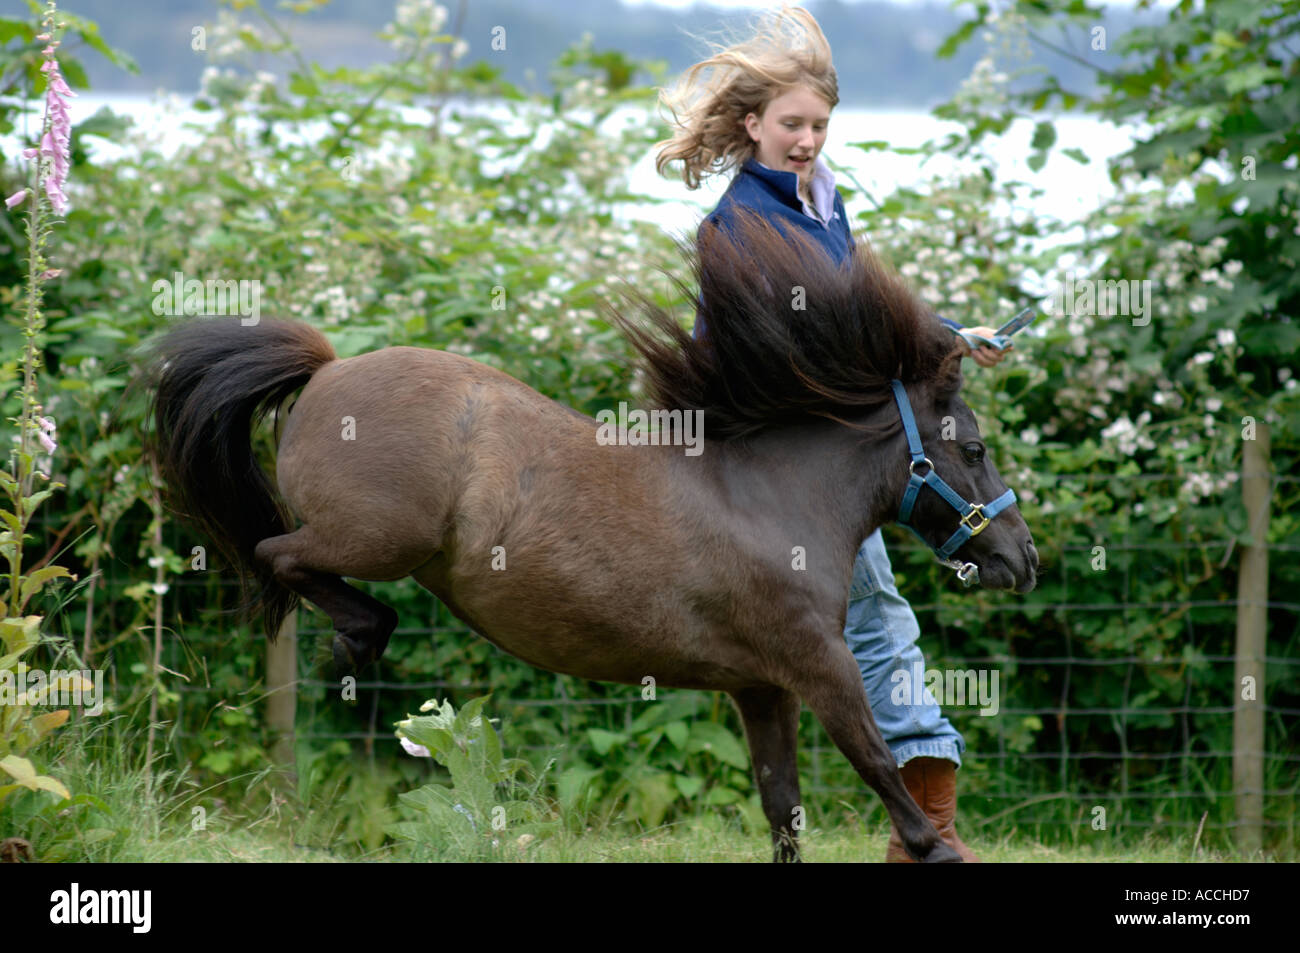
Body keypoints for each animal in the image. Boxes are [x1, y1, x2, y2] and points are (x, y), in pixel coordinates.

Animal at [145, 208, 1038, 863]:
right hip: (373, 541)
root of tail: (328, 368)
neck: (771, 502)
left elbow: (783, 810)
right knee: (277, 555)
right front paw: (935, 847)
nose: (1021, 558)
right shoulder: (819, 663)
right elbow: (883, 768)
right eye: (974, 448)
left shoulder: (763, 687)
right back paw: (358, 637)